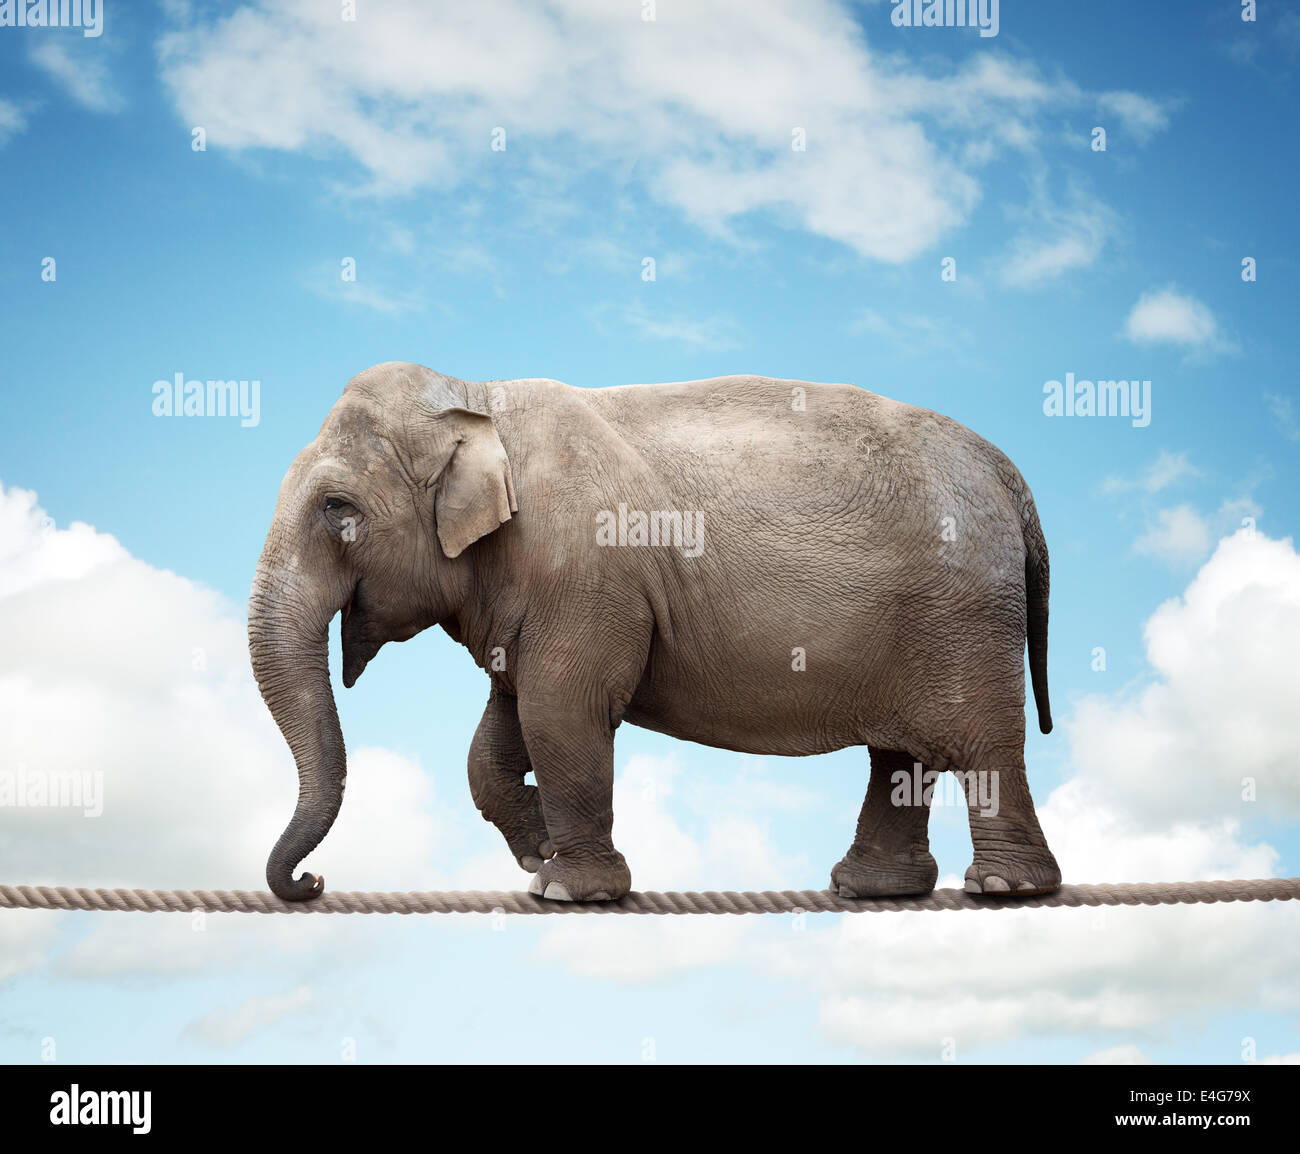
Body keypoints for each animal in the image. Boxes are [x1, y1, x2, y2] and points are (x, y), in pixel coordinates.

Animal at [249, 361, 1061, 903]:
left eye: (337, 508)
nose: (312, 880)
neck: (476, 399)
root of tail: (1008, 474)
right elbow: (503, 727)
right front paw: (539, 852)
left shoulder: (585, 574)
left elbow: (561, 710)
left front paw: (567, 887)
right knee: (899, 757)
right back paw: (875, 887)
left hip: (965, 617)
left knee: (982, 745)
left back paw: (1005, 885)